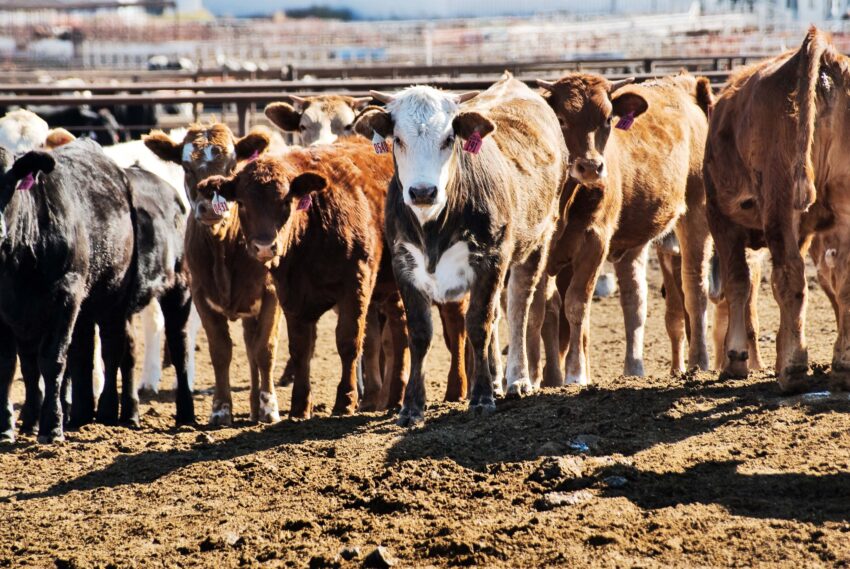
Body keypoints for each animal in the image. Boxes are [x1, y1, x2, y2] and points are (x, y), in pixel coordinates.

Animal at [143, 123, 281, 425]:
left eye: (231, 166)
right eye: (186, 167)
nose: (209, 207)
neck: (224, 245)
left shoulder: (272, 295)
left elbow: (265, 349)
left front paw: (269, 407)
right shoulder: (201, 297)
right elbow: (220, 351)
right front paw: (220, 409)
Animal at [195, 138, 407, 418]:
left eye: (286, 202)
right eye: (242, 202)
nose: (265, 247)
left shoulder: (355, 284)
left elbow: (348, 341)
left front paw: (345, 401)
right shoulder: (289, 294)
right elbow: (300, 348)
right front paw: (298, 406)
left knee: (399, 332)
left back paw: (395, 398)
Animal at [354, 72, 570, 425]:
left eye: (448, 138)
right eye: (398, 139)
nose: (423, 191)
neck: (433, 226)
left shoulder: (490, 259)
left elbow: (478, 324)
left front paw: (481, 398)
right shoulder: (404, 265)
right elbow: (421, 333)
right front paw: (411, 407)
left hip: (535, 244)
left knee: (518, 306)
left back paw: (517, 379)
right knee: (497, 314)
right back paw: (496, 379)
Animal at [539, 72, 713, 385]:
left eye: (608, 119)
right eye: (561, 119)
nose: (591, 167)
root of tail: (684, 82)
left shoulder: (595, 242)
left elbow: (576, 304)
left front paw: (576, 374)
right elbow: (550, 309)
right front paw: (552, 378)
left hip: (696, 212)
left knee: (695, 287)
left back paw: (699, 361)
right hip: (635, 242)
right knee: (635, 299)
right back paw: (633, 369)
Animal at [704, 27, 850, 391]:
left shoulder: (721, 220)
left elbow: (738, 282)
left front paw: (736, 358)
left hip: (779, 203)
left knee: (789, 276)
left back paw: (794, 369)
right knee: (842, 279)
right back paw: (842, 365)